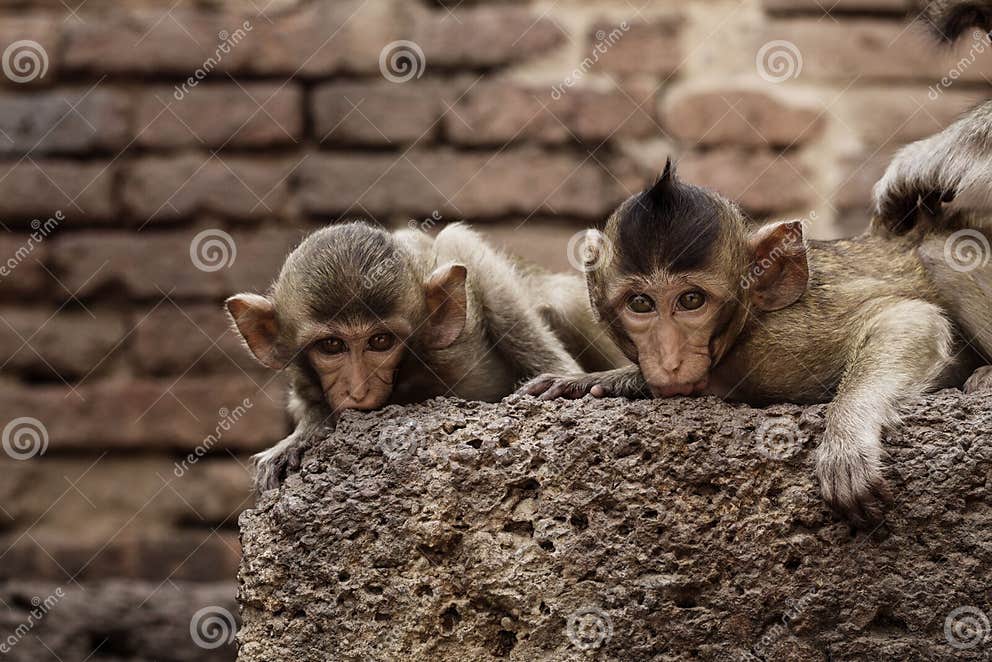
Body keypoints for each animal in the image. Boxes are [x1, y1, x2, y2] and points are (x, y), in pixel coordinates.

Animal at [519, 159, 991, 526]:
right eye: (641, 303)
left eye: (691, 300)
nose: (669, 360)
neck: (744, 328)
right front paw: (593, 381)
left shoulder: (781, 345)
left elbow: (906, 317)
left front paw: (847, 436)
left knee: (942, 253)